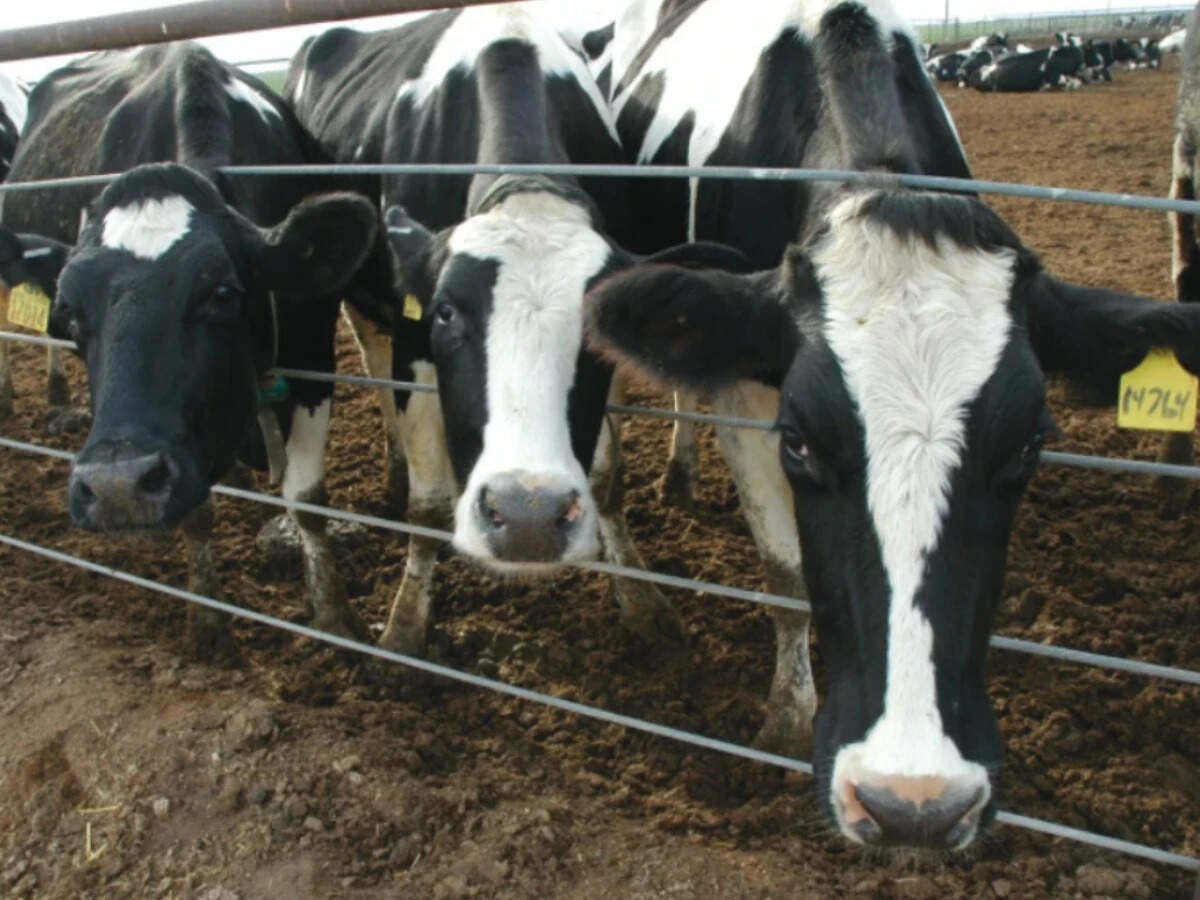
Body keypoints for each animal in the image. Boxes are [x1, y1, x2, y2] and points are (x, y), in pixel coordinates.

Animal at [1, 44, 378, 656]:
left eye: (221, 293)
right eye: (70, 314)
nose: (117, 486)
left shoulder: (312, 352)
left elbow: (308, 497)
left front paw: (335, 619)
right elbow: (198, 514)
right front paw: (206, 620)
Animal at [284, 5, 737, 659]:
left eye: (593, 326)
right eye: (447, 312)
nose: (527, 518)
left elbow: (607, 480)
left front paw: (642, 601)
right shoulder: (415, 340)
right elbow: (428, 506)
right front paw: (404, 629)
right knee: (372, 358)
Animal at [587, 29, 1200, 856]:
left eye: (1030, 446)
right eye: (799, 443)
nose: (915, 804)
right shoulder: (749, 391)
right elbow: (786, 574)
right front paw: (787, 717)